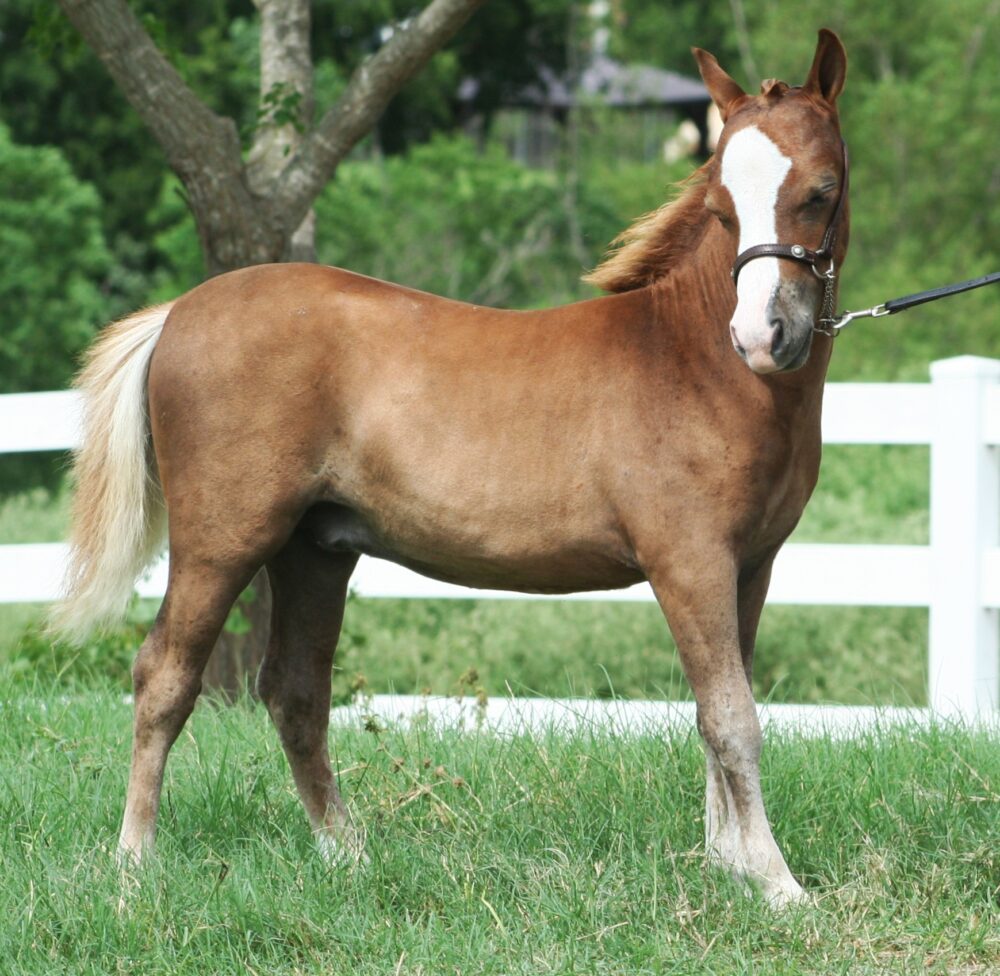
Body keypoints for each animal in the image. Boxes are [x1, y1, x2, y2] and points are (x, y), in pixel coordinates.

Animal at [54, 30, 849, 907]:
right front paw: (778, 885)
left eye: (821, 191)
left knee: (294, 691)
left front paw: (727, 864)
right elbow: (731, 718)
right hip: (221, 543)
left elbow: (720, 713)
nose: (761, 338)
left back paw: (349, 854)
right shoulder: (690, 563)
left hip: (312, 552)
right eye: (720, 206)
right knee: (165, 675)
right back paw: (134, 866)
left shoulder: (750, 567)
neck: (695, 362)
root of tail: (178, 313)